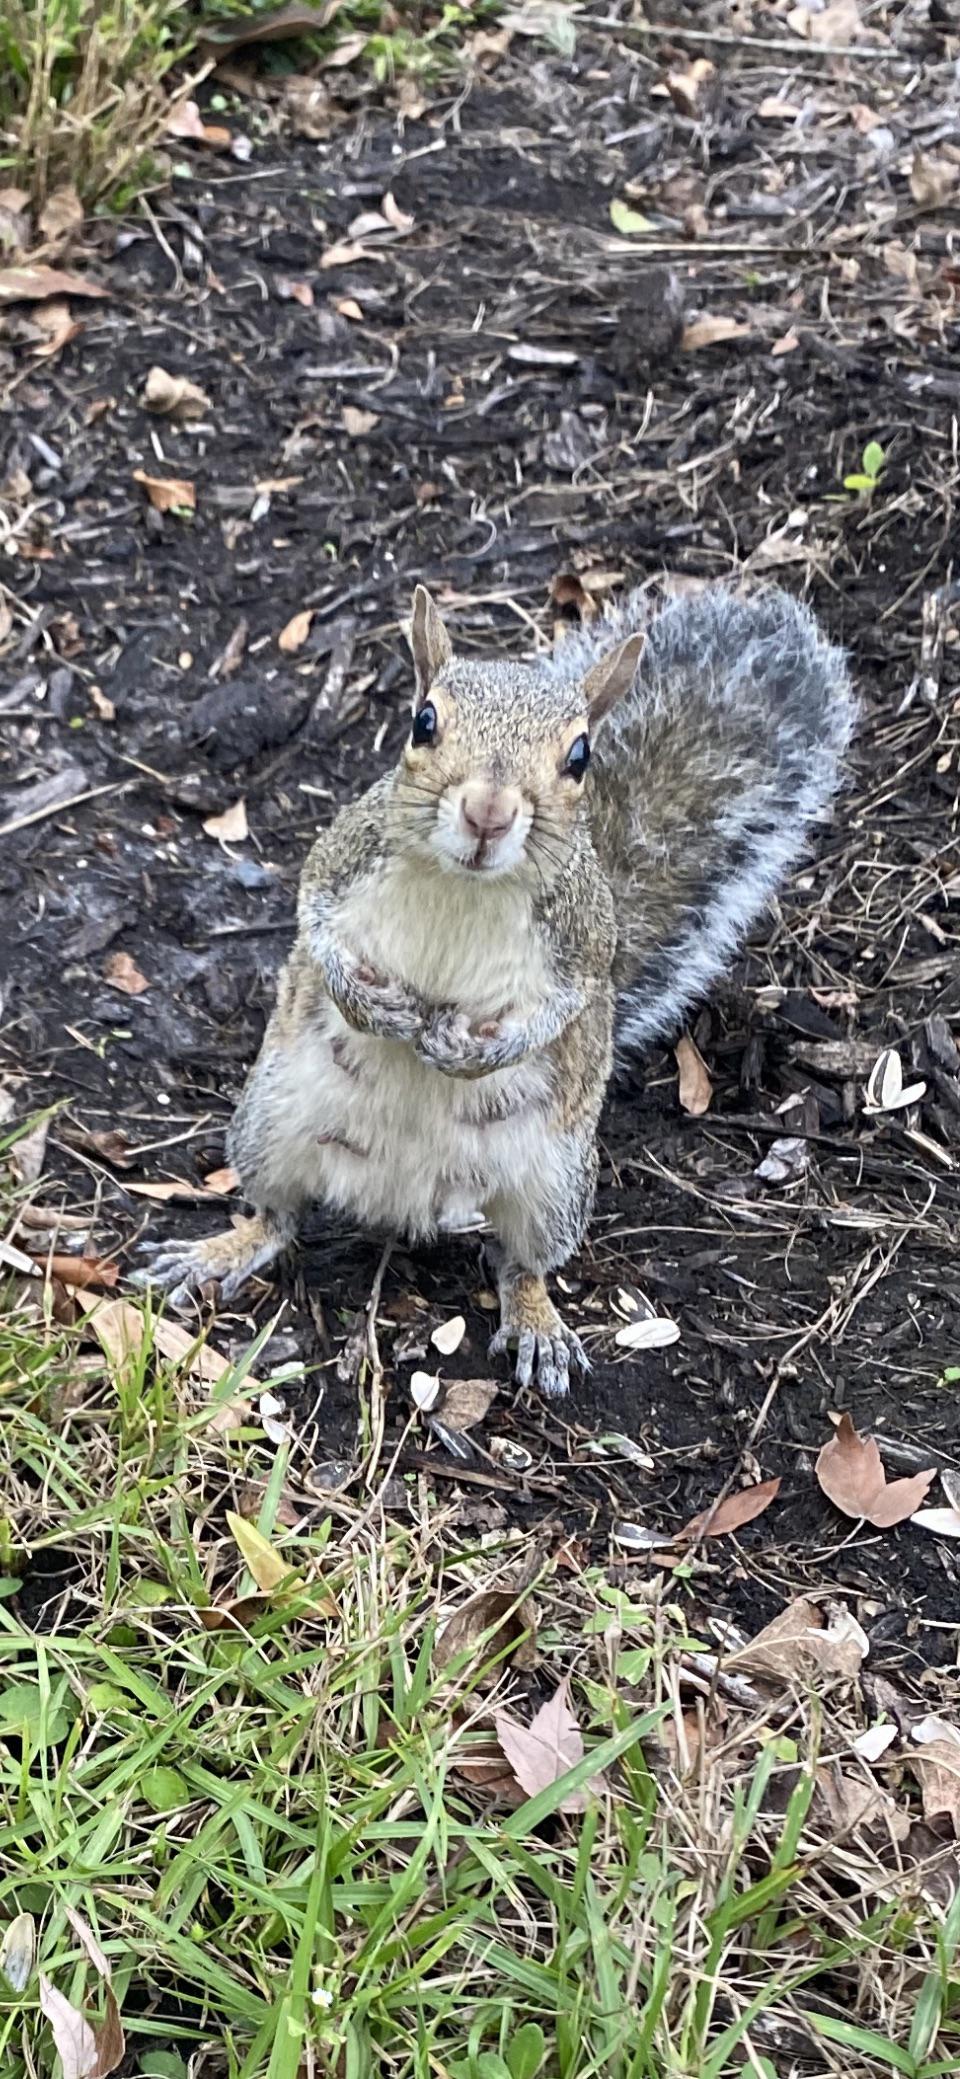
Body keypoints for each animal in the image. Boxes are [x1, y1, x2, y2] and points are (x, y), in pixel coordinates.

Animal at [140, 582, 855, 1397]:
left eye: (580, 756)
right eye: (423, 721)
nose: (489, 812)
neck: (465, 884)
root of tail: (404, 1204)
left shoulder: (584, 943)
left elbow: (565, 1005)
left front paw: (474, 1049)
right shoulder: (339, 859)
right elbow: (315, 925)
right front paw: (369, 1002)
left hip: (552, 1185)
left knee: (522, 1265)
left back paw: (538, 1324)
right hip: (271, 1123)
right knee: (277, 1218)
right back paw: (217, 1252)